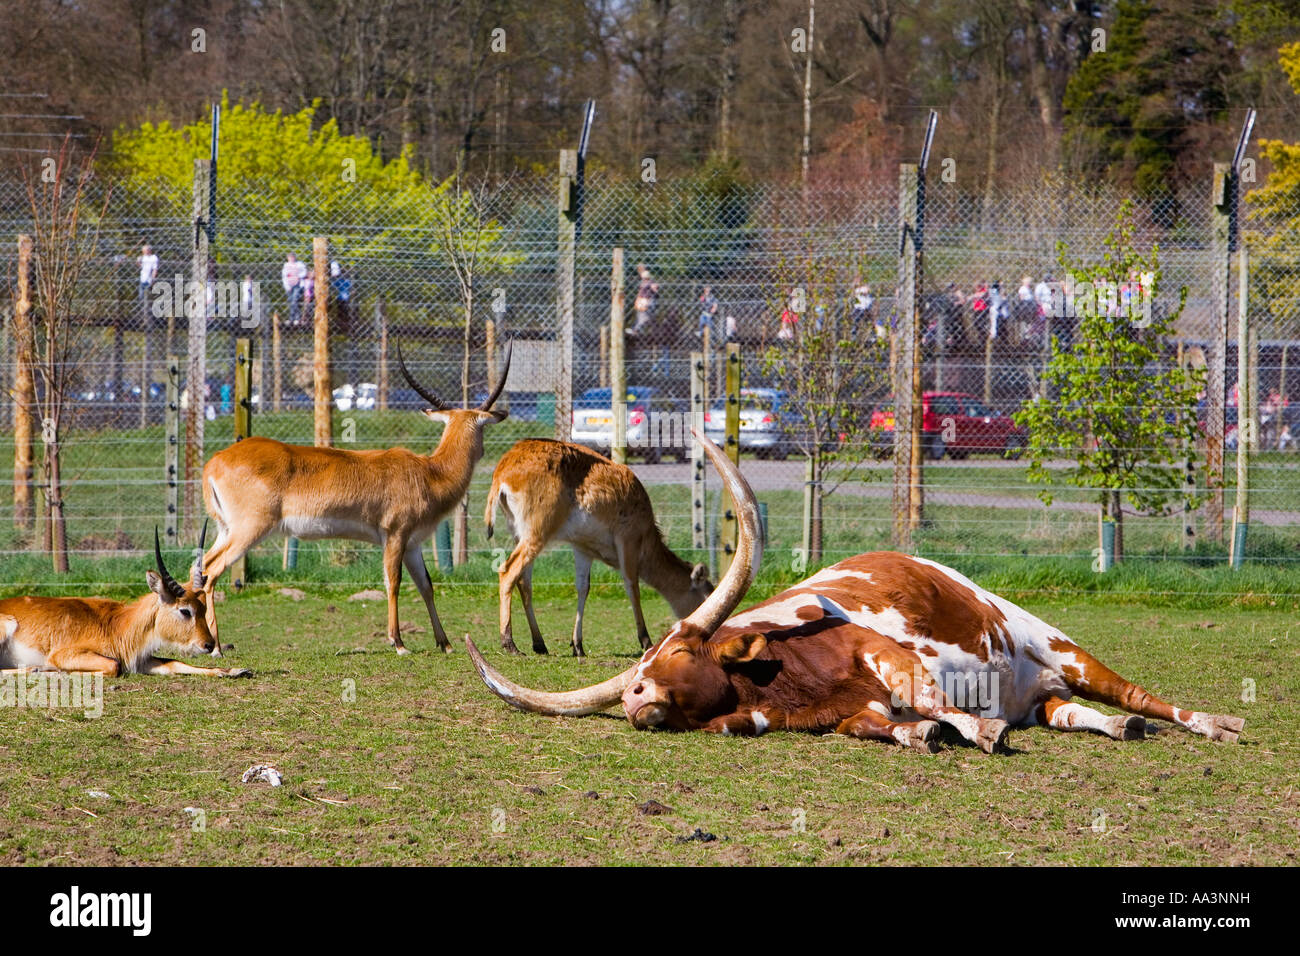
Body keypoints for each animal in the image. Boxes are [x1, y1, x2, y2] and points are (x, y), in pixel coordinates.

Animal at [0, 528, 250, 678]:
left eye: (203, 608)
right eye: (185, 610)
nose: (209, 644)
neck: (118, 626)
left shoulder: (142, 661)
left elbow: (175, 663)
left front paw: (235, 670)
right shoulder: (65, 654)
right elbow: (114, 666)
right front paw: (55, 671)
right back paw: (38, 669)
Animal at [198, 341, 512, 654]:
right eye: (482, 426)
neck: (430, 473)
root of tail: (215, 461)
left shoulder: (412, 543)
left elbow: (426, 585)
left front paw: (444, 643)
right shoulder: (395, 535)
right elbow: (393, 582)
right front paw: (398, 642)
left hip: (226, 529)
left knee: (200, 566)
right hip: (250, 529)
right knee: (212, 570)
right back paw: (216, 647)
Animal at [485, 438, 712, 656]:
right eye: (708, 594)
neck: (648, 537)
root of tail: (503, 472)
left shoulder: (582, 548)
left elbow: (583, 587)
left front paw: (577, 645)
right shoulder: (628, 539)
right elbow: (632, 585)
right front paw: (646, 640)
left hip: (520, 534)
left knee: (524, 581)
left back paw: (540, 644)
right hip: (537, 533)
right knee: (507, 571)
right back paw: (510, 644)